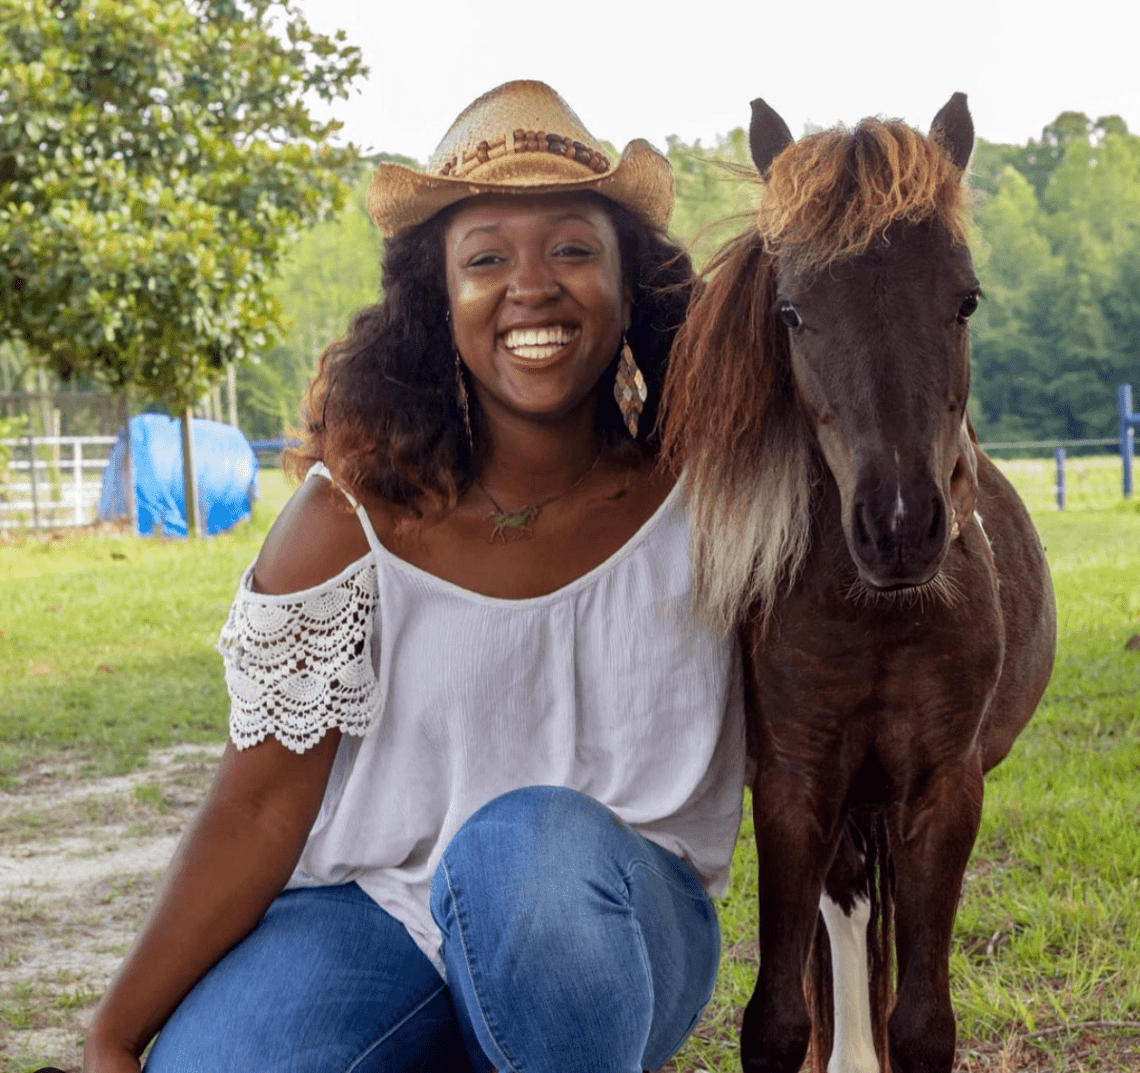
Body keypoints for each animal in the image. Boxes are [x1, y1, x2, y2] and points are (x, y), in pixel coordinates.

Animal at [660, 94, 1057, 1073]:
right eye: (793, 310)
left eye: (965, 299)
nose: (901, 525)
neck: (874, 612)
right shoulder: (794, 782)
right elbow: (776, 1018)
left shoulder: (944, 789)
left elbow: (923, 1024)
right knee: (844, 907)